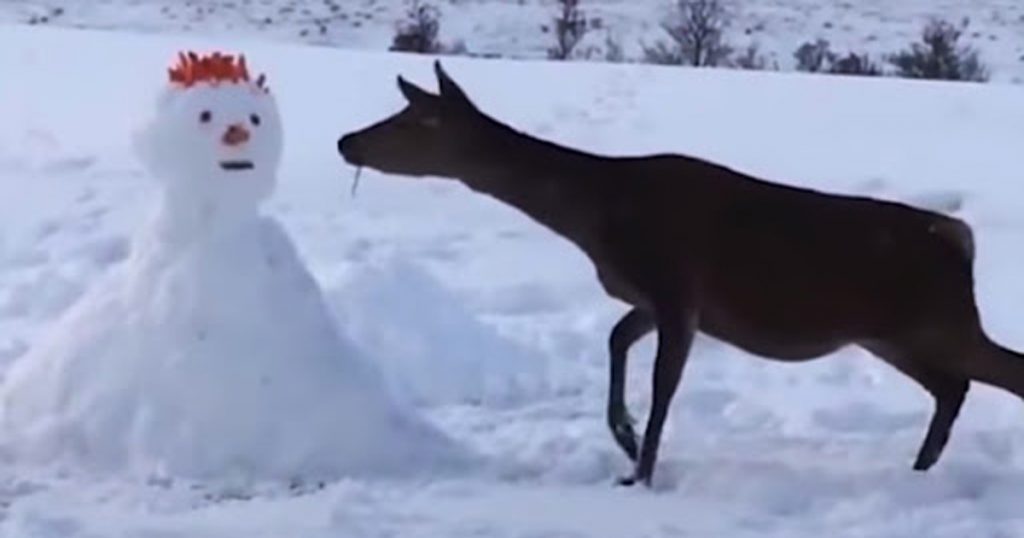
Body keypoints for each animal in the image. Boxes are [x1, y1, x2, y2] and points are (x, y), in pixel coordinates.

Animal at [336, 60, 1024, 487]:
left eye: (416, 121)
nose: (347, 142)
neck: (599, 219)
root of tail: (960, 240)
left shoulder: (678, 288)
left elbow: (664, 385)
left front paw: (639, 471)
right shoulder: (649, 294)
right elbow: (616, 339)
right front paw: (623, 437)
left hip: (936, 319)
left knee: (995, 373)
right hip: (890, 333)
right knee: (953, 387)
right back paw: (921, 466)